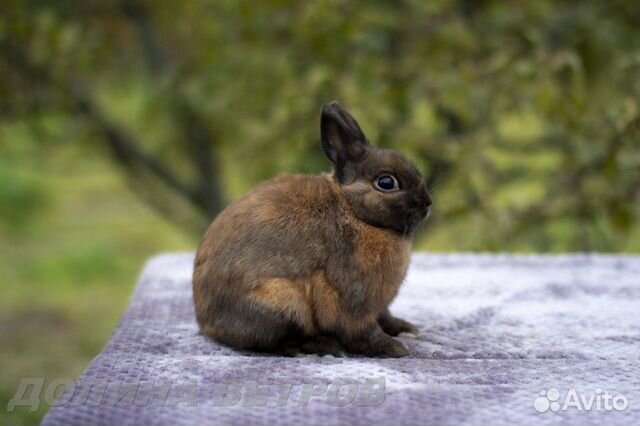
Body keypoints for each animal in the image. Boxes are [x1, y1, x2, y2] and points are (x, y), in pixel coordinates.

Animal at [193, 101, 432, 357]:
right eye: (386, 182)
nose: (427, 203)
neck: (355, 211)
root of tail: (206, 322)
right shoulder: (355, 300)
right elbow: (364, 332)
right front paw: (395, 348)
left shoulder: (379, 306)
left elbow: (385, 316)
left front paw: (407, 329)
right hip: (284, 305)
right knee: (280, 343)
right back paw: (324, 346)